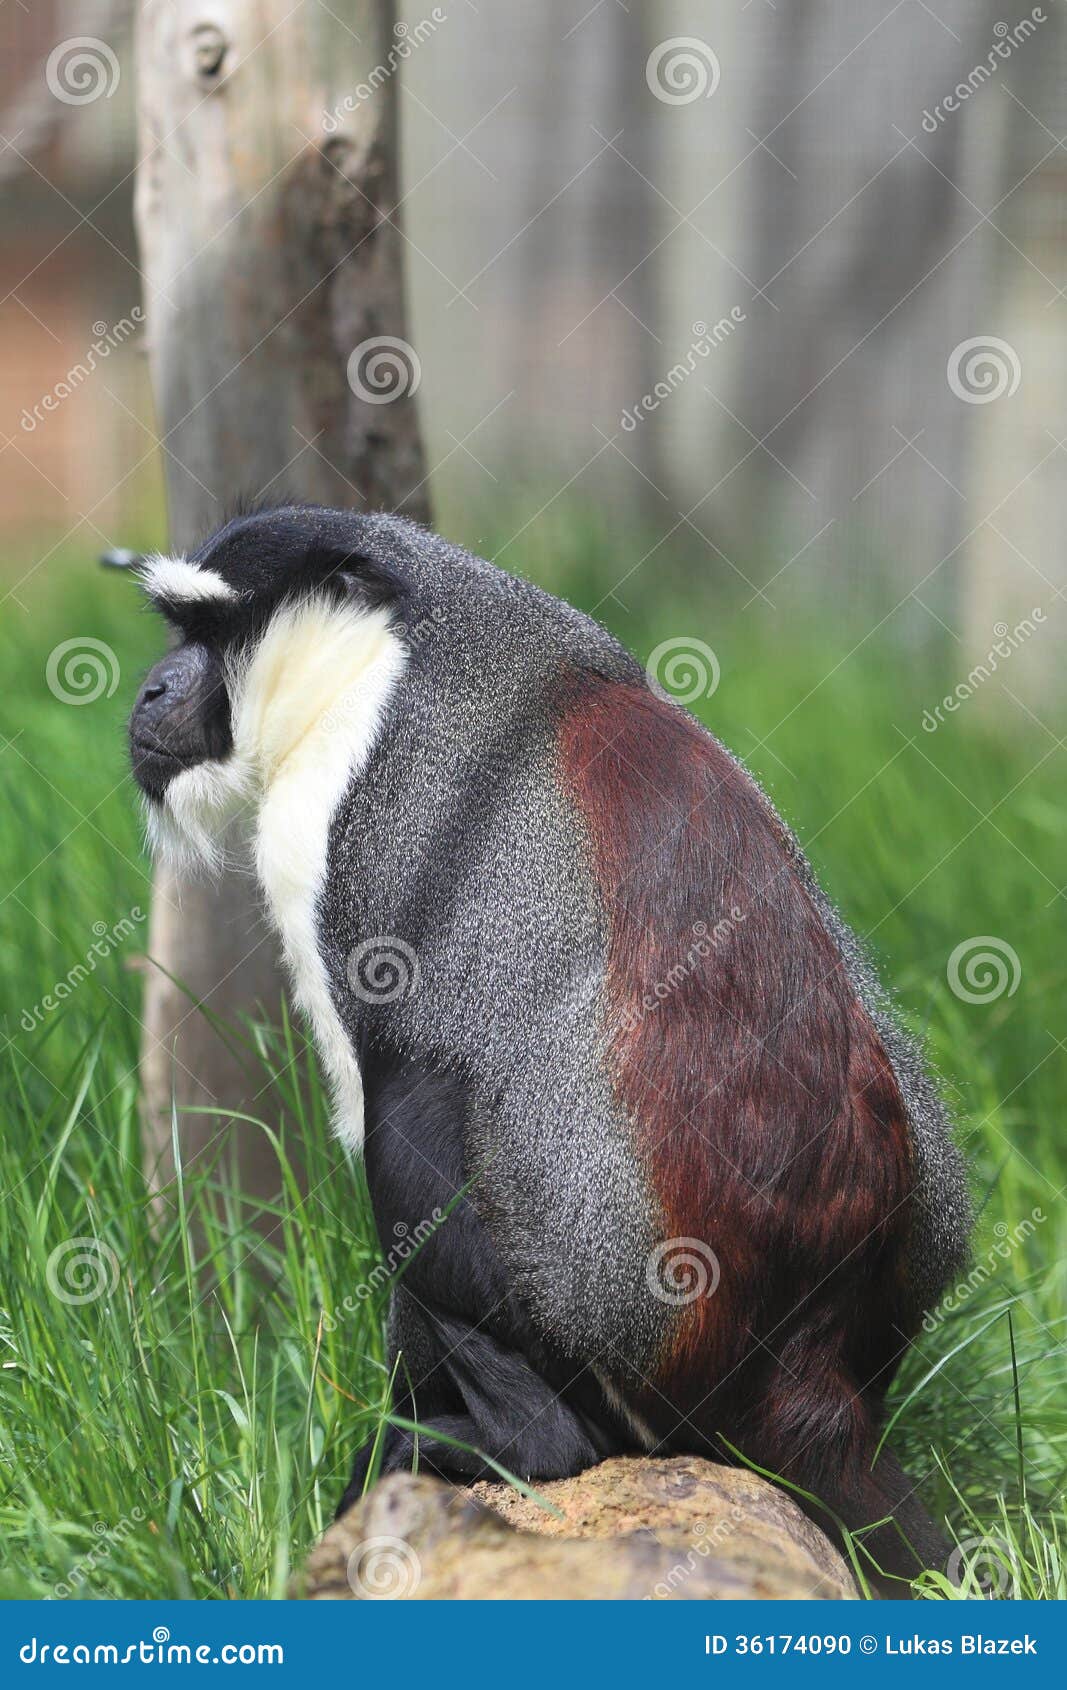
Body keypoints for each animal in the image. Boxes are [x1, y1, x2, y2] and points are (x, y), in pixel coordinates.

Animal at [127, 504, 971, 1595]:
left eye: (207, 630)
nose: (151, 687)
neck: (400, 643)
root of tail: (806, 1366)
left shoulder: (342, 825)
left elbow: (390, 1105)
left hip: (569, 1312)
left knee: (414, 1123)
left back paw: (515, 1444)